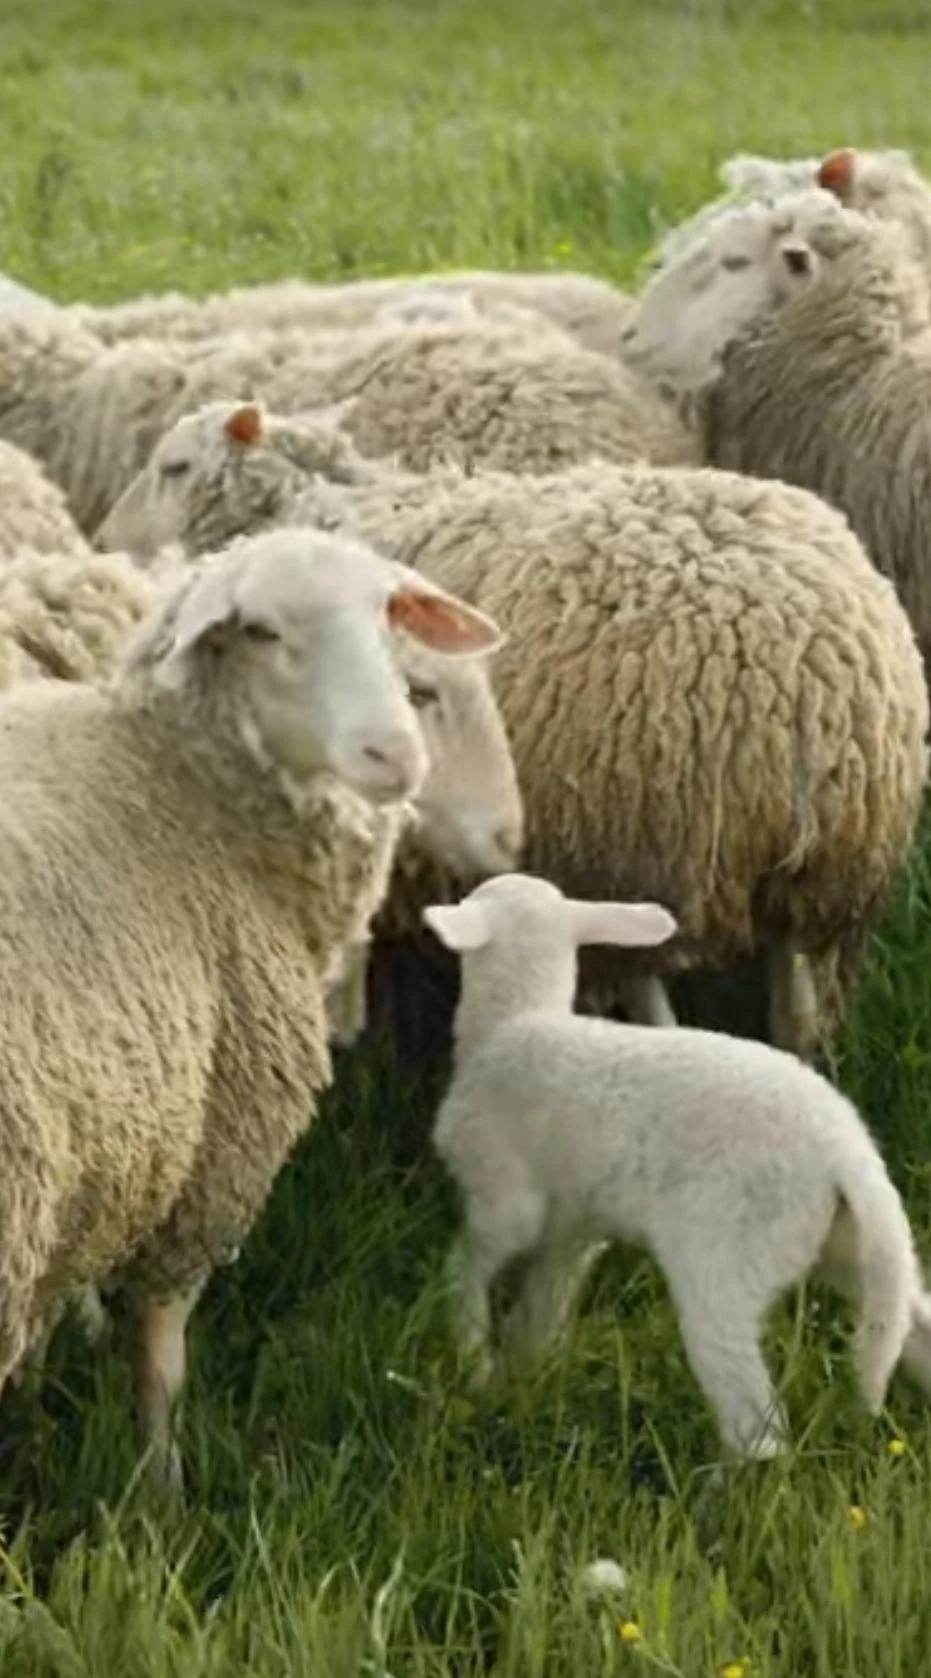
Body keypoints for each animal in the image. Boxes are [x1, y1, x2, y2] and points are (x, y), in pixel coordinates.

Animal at [0, 524, 505, 1488]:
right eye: (263, 631)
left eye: (388, 613)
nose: (394, 753)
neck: (165, 783)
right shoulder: (218, 1134)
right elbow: (161, 1341)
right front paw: (160, 1483)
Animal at [102, 410, 930, 1057]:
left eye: (173, 465)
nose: (107, 539)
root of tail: (808, 690)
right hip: (825, 880)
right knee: (800, 1020)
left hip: (636, 848)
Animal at [424, 871, 931, 1458]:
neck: (516, 1016)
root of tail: (850, 1154)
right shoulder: (576, 1224)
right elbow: (546, 1297)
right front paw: (520, 1372)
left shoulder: (501, 1191)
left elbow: (466, 1266)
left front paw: (471, 1358)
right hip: (852, 1246)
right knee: (915, 1323)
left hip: (729, 1256)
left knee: (754, 1417)